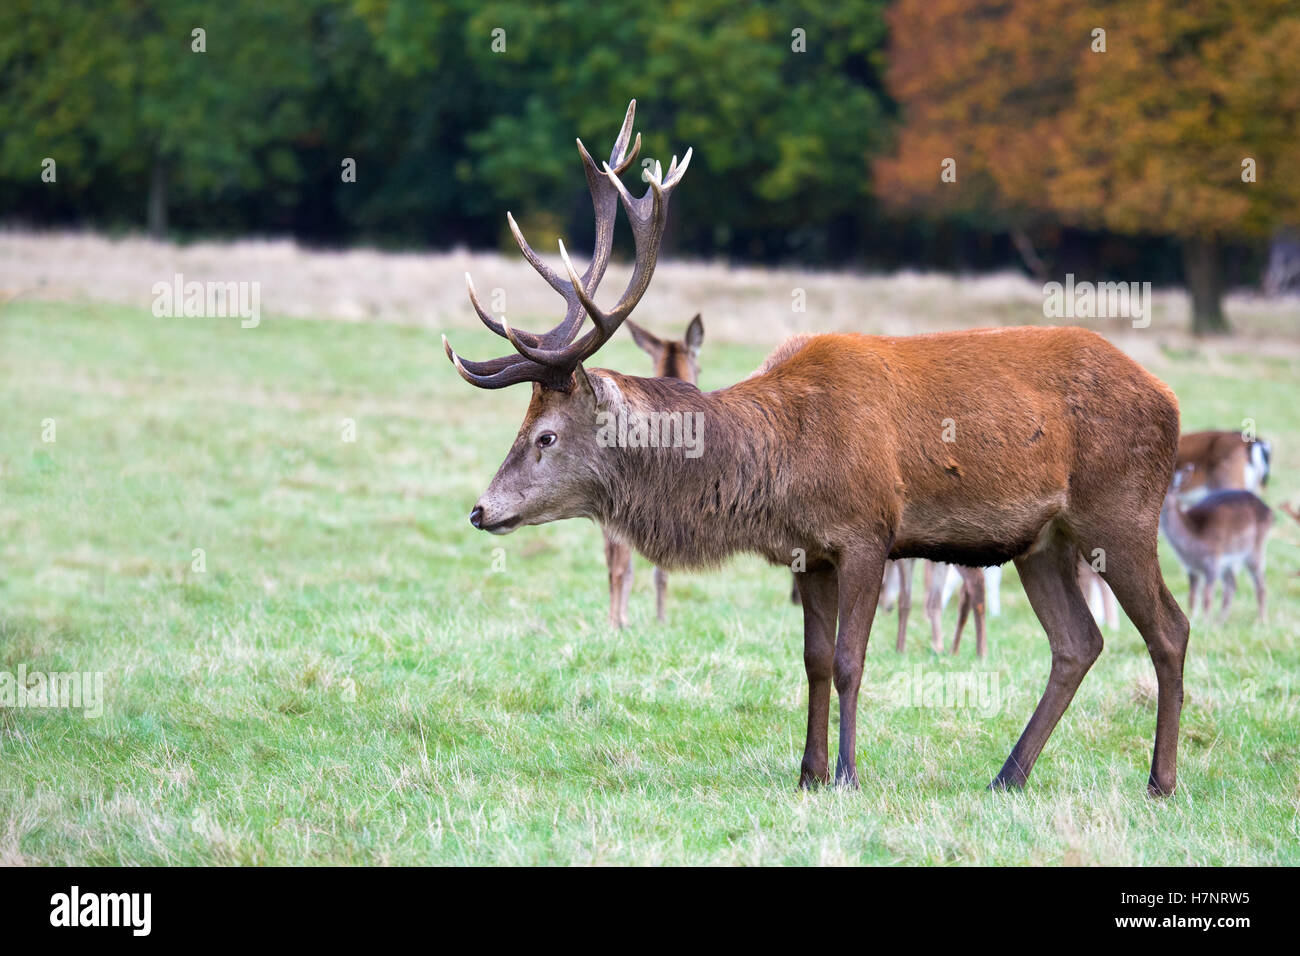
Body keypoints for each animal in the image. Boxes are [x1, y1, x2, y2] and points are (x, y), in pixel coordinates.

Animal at [604, 315, 705, 626]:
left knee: (614, 564)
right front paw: (661, 619)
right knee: (623, 564)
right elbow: (661, 568)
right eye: (700, 366)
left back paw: (616, 620)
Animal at [1160, 466, 1273, 624]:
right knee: (1232, 585)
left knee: (1261, 585)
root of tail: (1270, 511)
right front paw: (1193, 619)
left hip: (1255, 549)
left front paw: (1205, 622)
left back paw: (1261, 621)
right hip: (1229, 562)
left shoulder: (1213, 561)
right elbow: (1192, 596)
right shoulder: (1191, 568)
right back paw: (1220, 622)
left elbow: (1207, 596)